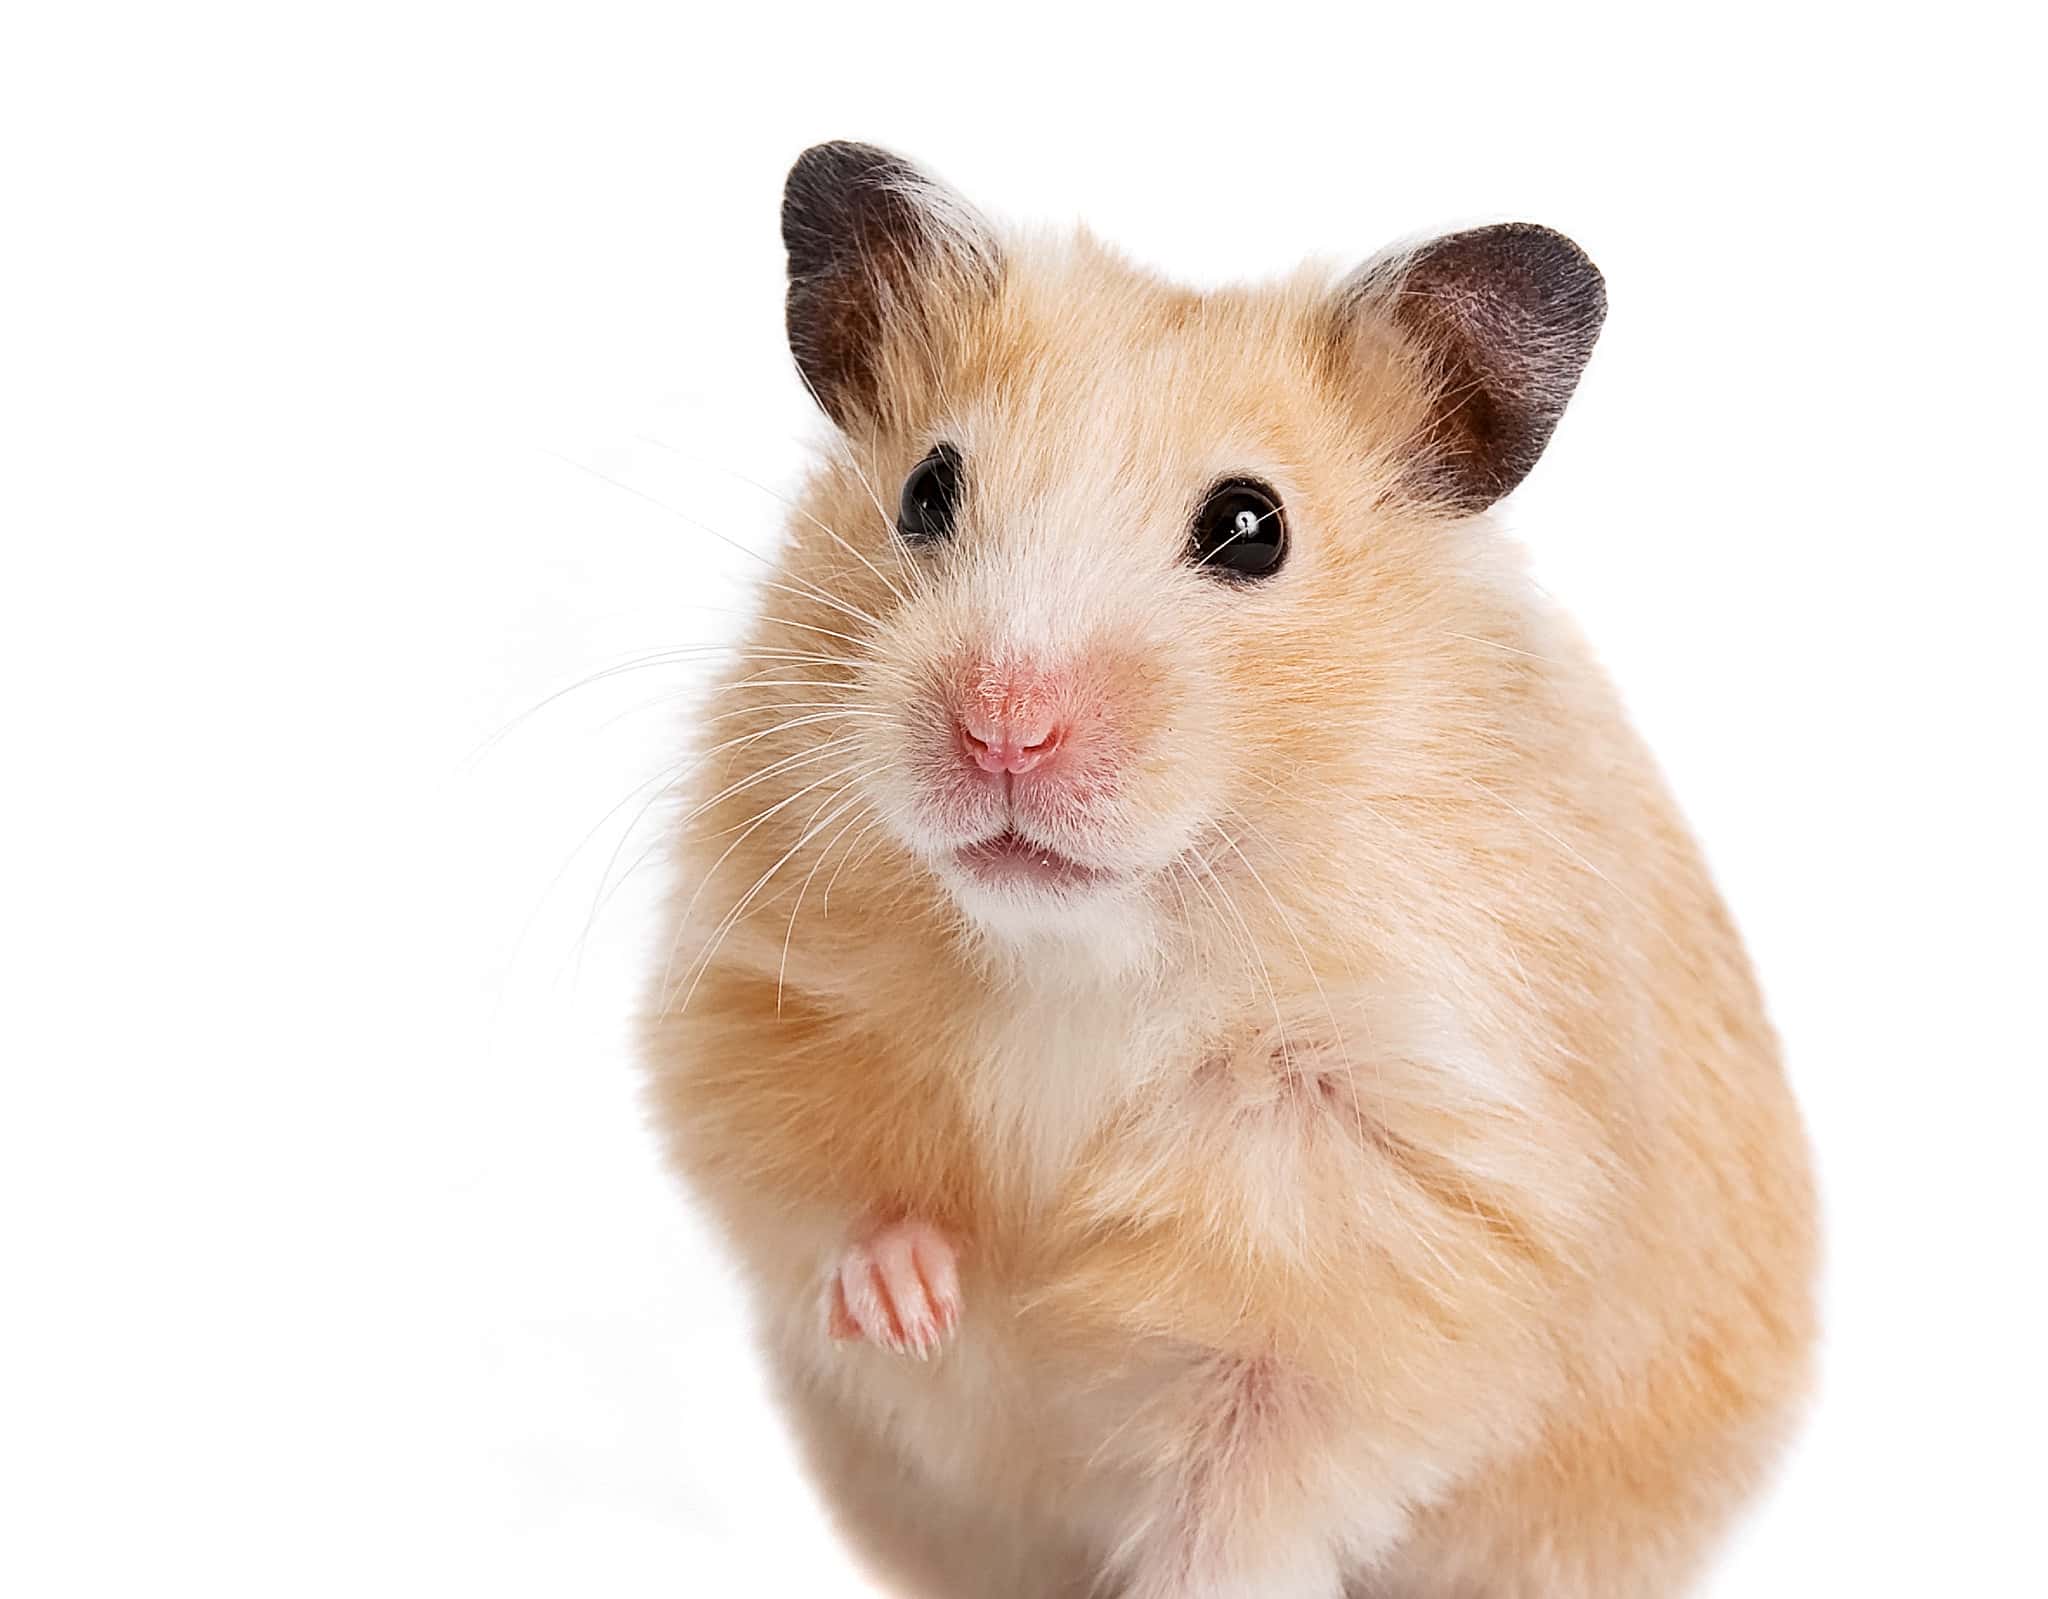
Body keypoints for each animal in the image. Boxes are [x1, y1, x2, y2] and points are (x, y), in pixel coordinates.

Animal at [643, 140, 1817, 1598]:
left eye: (1251, 527)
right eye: (924, 491)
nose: (1002, 729)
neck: (1083, 947)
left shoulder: (1390, 1211)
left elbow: (1246, 1478)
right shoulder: (754, 985)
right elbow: (819, 1187)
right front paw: (913, 1306)